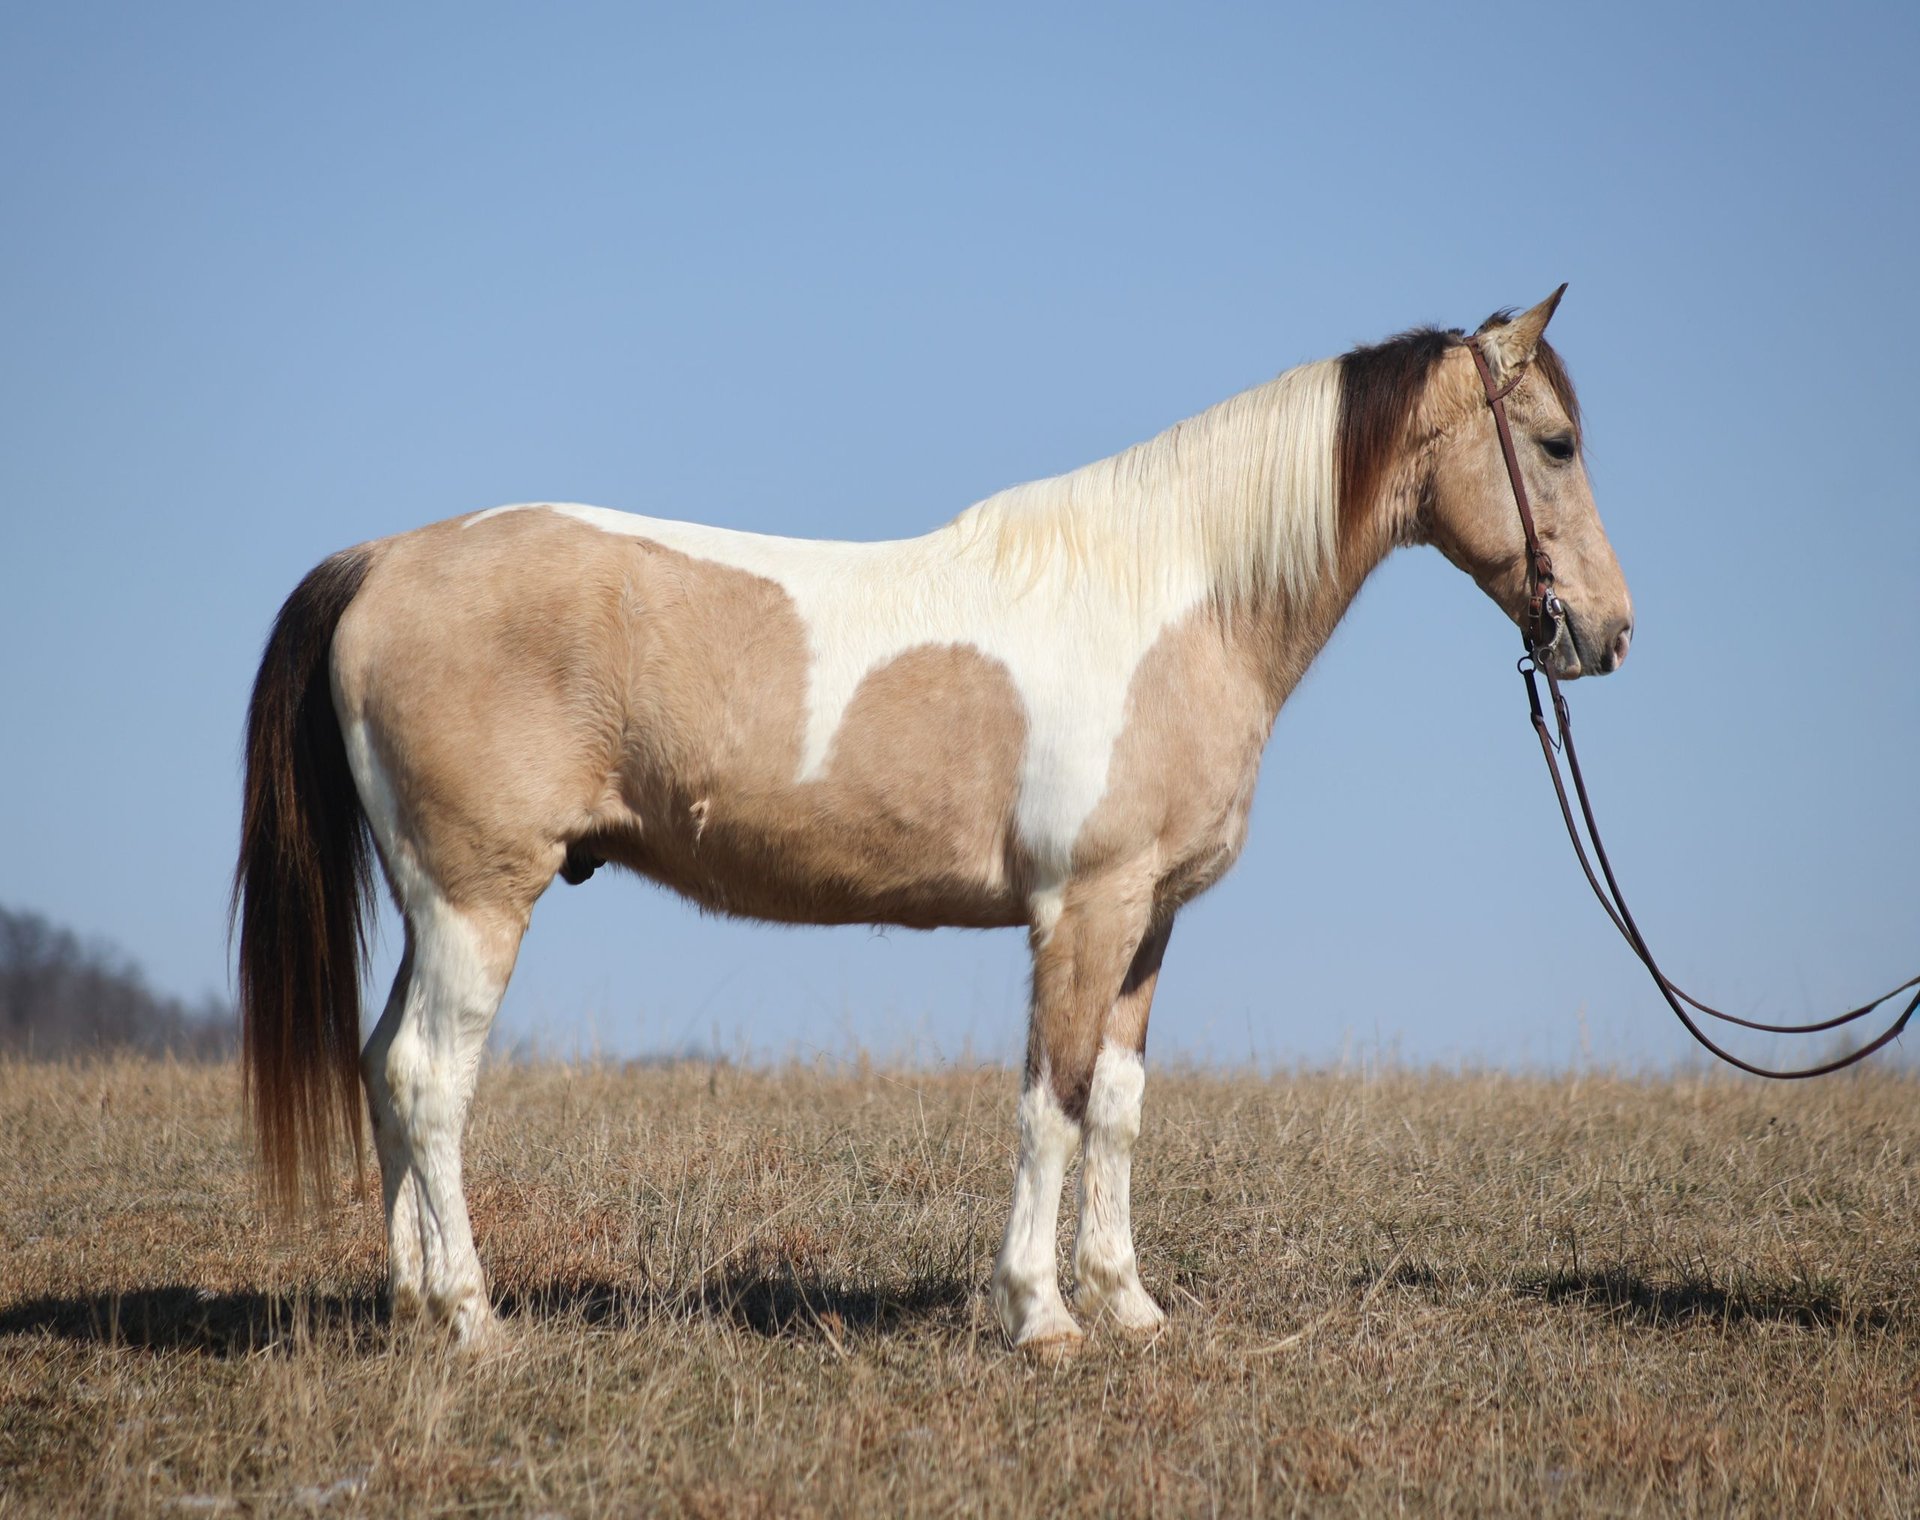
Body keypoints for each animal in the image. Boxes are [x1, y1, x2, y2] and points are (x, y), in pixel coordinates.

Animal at [234, 288, 1632, 1350]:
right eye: (1557, 442)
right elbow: (1051, 1100)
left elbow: (1118, 1106)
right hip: (478, 899)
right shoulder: (1082, 909)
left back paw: (413, 1303)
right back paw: (474, 1317)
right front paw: (1044, 1315)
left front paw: (1130, 1306)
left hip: (434, 904)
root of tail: (386, 560)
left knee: (384, 1063)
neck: (1173, 601)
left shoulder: (1150, 921)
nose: (1607, 632)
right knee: (431, 1076)